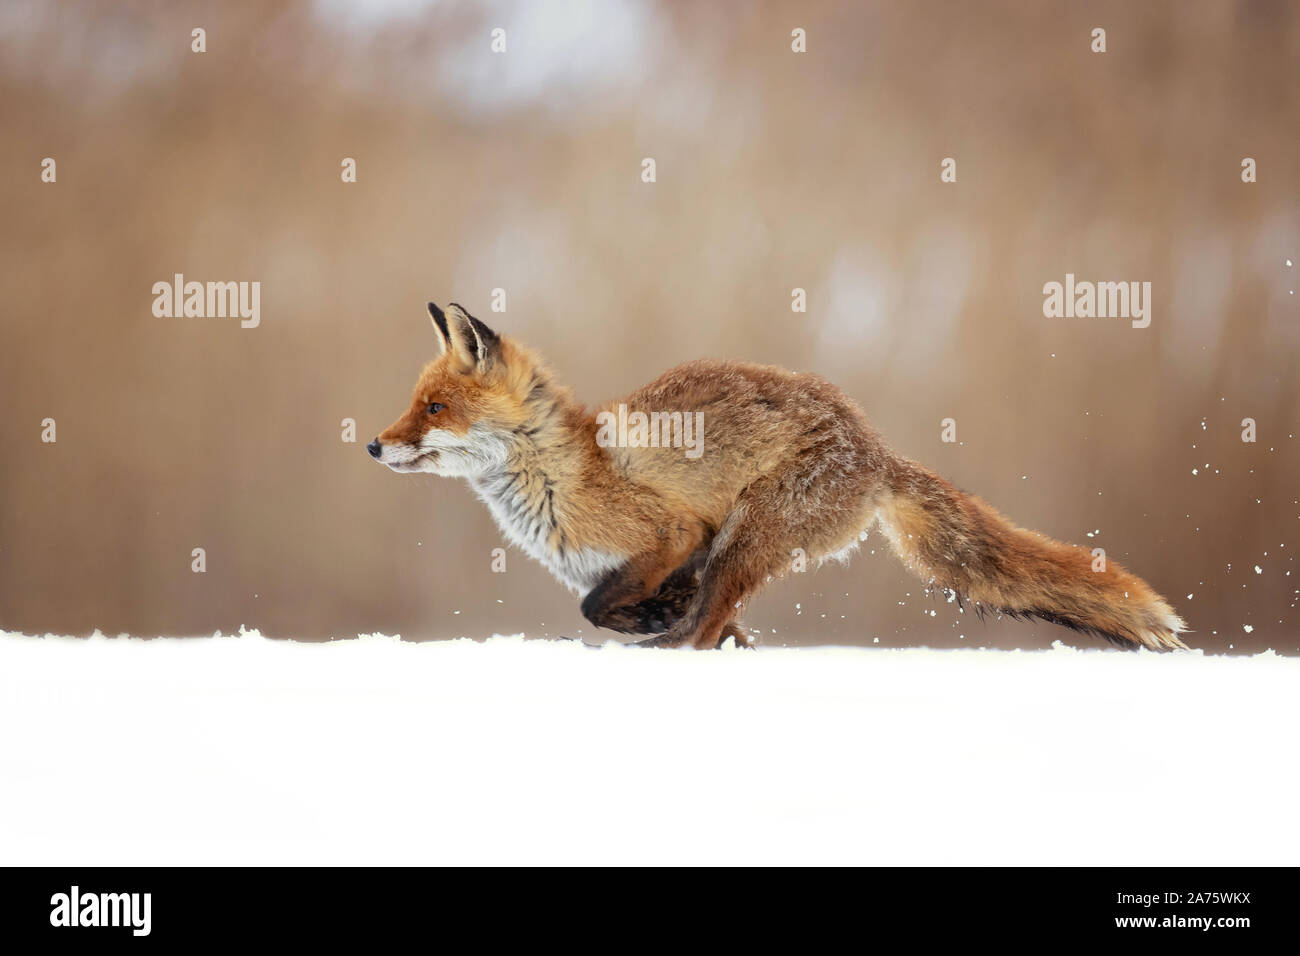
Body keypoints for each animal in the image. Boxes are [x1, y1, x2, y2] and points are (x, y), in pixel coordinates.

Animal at [369, 301, 1189, 651]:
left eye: (434, 408)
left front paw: (645, 624)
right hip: (743, 546)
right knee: (715, 621)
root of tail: (875, 446)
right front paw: (655, 617)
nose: (374, 446)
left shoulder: (676, 532)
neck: (559, 475)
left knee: (703, 631)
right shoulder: (667, 560)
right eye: (414, 402)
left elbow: (598, 605)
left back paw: (670, 648)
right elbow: (626, 604)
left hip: (746, 535)